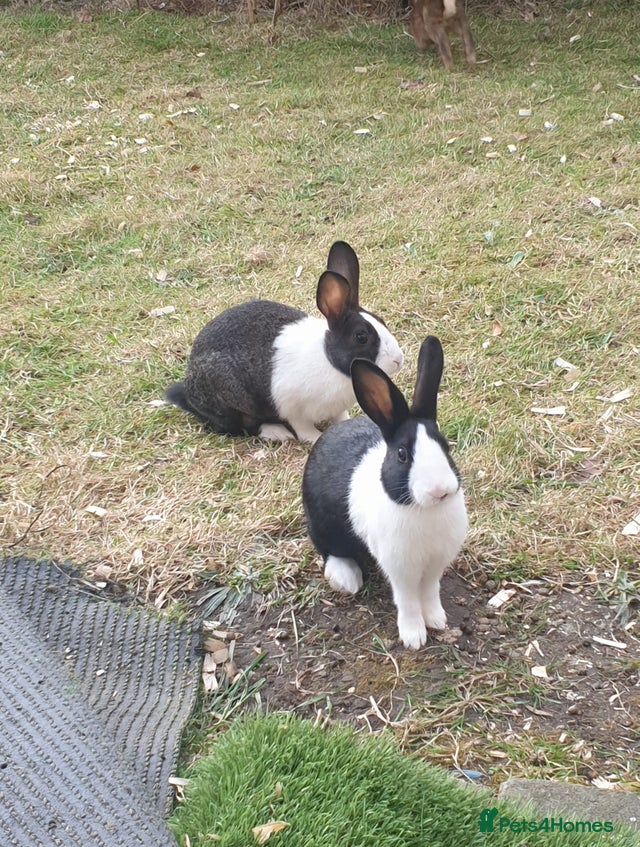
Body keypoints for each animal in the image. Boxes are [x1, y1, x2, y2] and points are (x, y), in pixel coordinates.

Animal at [165, 241, 404, 444]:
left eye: (382, 321)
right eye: (361, 337)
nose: (398, 360)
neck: (330, 361)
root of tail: (188, 392)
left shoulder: (337, 408)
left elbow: (340, 418)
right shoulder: (293, 408)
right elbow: (304, 429)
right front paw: (317, 438)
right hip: (231, 402)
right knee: (240, 427)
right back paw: (277, 432)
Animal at [302, 335, 468, 650]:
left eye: (445, 446)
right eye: (402, 454)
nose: (440, 491)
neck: (424, 510)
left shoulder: (435, 564)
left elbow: (430, 592)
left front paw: (437, 620)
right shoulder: (400, 568)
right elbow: (408, 600)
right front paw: (414, 637)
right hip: (321, 525)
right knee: (330, 551)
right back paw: (346, 578)